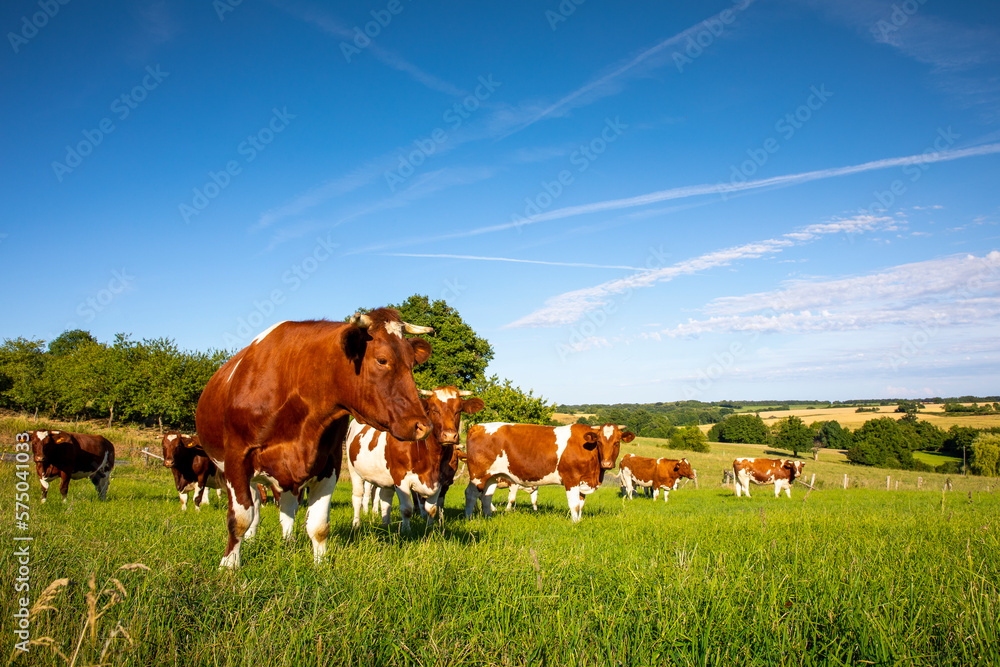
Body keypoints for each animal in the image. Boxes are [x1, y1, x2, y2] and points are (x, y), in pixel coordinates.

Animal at [195, 309, 434, 568]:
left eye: (412, 363)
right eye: (382, 360)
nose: (422, 426)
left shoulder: (329, 462)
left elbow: (318, 525)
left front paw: (321, 565)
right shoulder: (238, 458)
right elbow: (239, 518)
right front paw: (229, 565)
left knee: (287, 510)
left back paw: (288, 543)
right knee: (256, 506)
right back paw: (250, 541)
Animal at [346, 386, 483, 532]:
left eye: (458, 411)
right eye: (434, 410)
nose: (450, 436)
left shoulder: (439, 481)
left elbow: (432, 509)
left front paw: (430, 530)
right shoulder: (401, 477)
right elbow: (407, 509)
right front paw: (406, 532)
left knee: (385, 499)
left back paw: (386, 525)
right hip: (354, 470)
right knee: (358, 497)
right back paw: (356, 524)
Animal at [463, 423, 635, 522]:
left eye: (617, 442)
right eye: (599, 442)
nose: (607, 463)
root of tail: (477, 426)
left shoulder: (583, 480)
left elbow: (581, 504)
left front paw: (579, 521)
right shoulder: (571, 479)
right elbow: (574, 504)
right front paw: (574, 523)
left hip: (492, 475)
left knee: (486, 496)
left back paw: (489, 518)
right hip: (478, 474)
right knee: (471, 494)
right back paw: (469, 518)